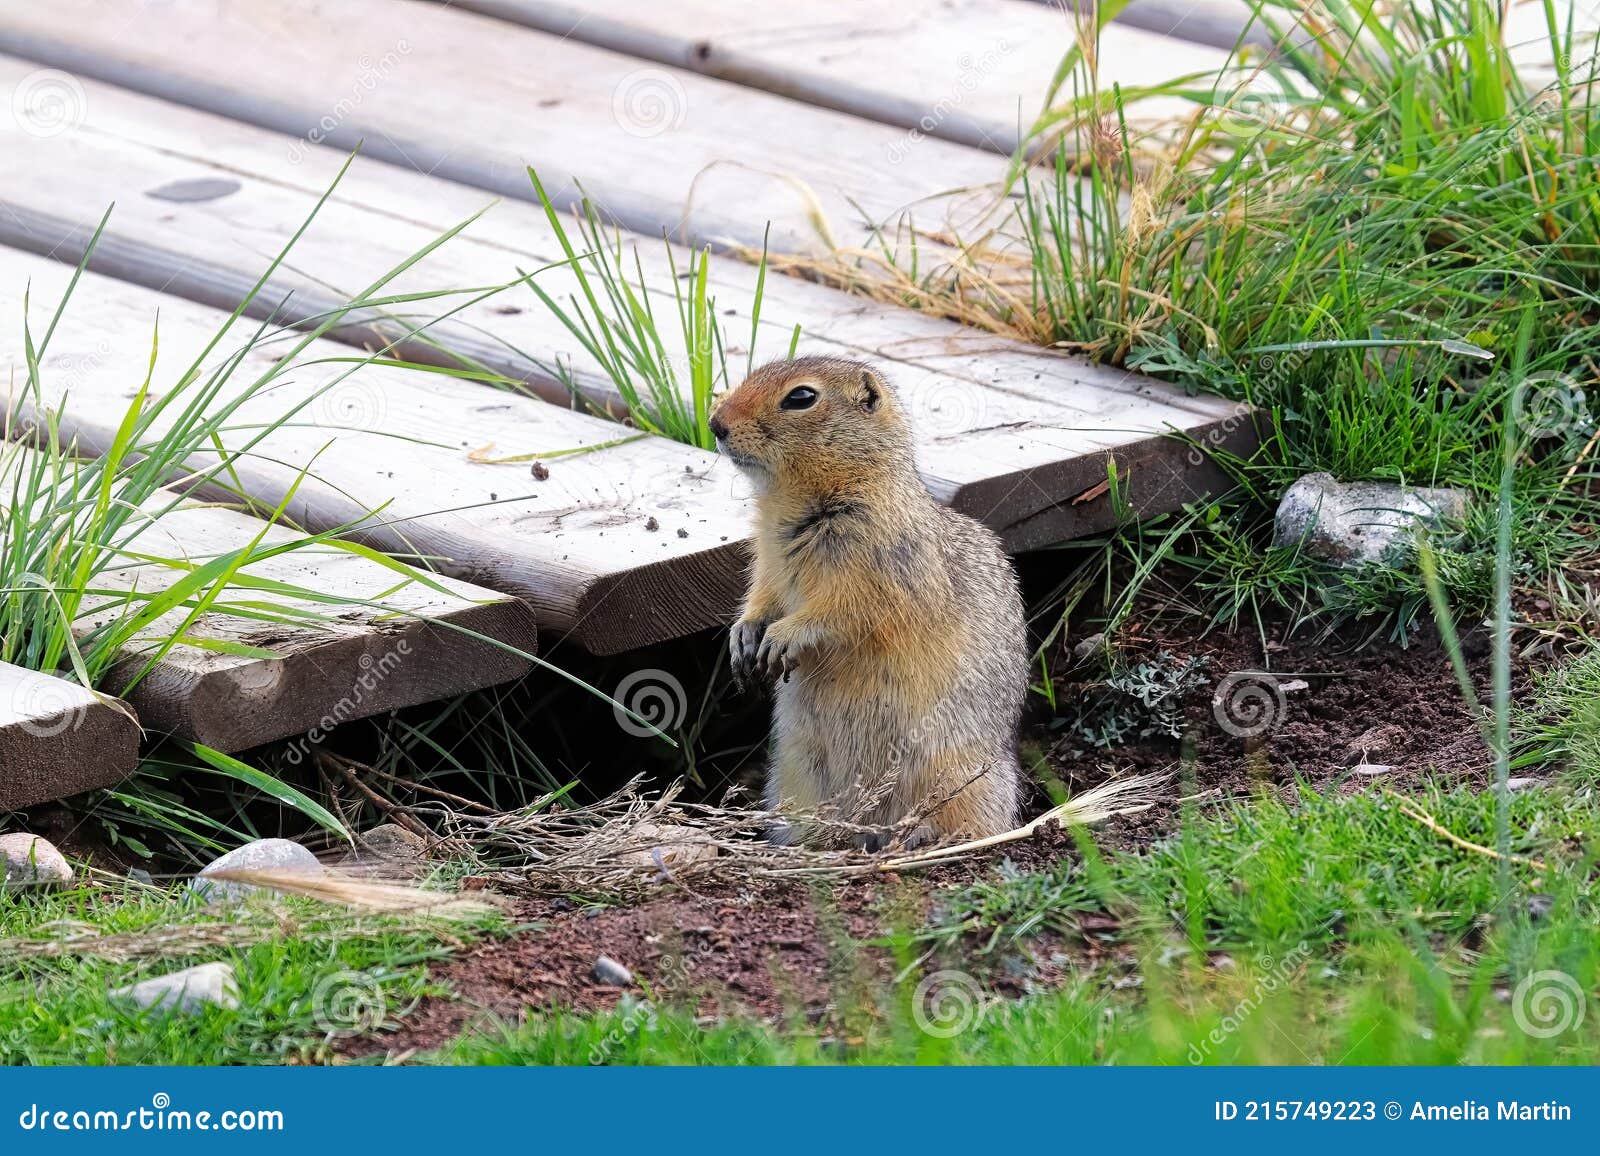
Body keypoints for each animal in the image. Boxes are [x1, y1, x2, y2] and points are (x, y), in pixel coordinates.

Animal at [708, 356, 1027, 849]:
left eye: (801, 397)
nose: (715, 424)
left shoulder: (878, 564)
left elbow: (843, 611)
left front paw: (783, 635)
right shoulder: (768, 562)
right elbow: (761, 597)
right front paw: (744, 636)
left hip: (959, 776)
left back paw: (922, 837)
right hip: (797, 773)